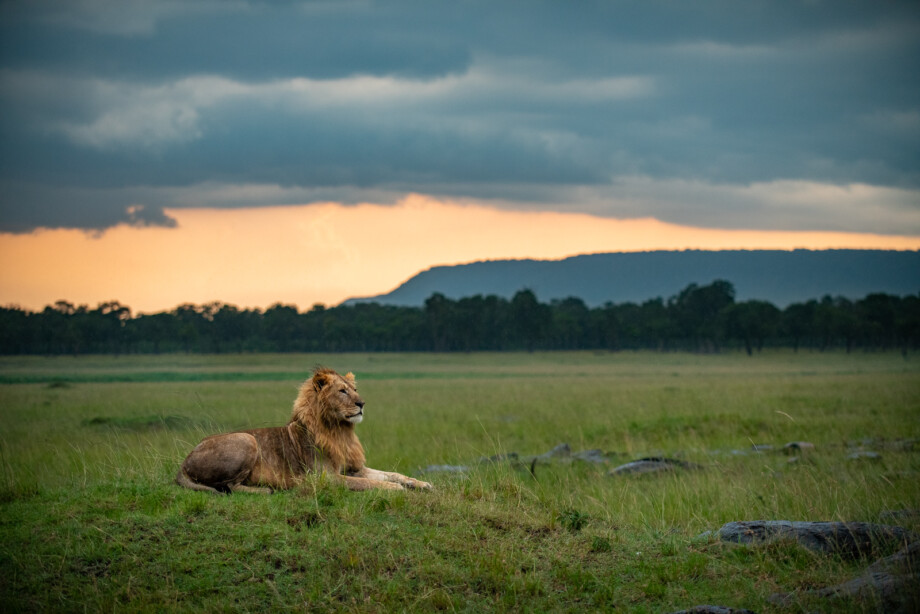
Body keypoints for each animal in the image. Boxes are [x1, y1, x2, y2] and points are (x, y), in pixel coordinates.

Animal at [176, 368, 432, 493]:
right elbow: (370, 484)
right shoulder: (327, 479)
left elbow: (392, 473)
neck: (340, 431)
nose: (362, 403)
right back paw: (268, 490)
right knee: (229, 486)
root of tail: (184, 461)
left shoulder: (354, 469)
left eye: (355, 390)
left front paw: (421, 484)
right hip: (246, 439)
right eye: (342, 391)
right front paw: (395, 489)